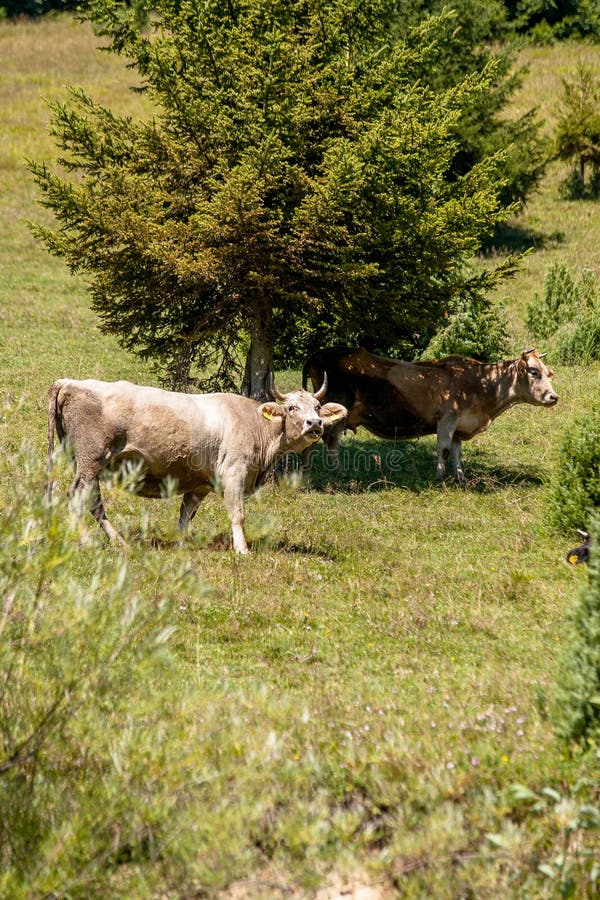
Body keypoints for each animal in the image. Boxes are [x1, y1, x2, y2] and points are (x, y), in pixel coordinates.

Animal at [47, 376, 347, 554]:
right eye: (292, 408)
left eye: (317, 407)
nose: (315, 424)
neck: (255, 425)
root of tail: (70, 382)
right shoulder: (234, 473)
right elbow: (237, 514)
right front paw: (242, 549)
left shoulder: (200, 485)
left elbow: (185, 515)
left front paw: (179, 544)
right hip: (91, 460)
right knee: (78, 496)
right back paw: (84, 540)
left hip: (88, 464)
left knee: (94, 501)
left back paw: (118, 541)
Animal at [302, 346, 558, 482]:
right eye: (533, 372)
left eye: (549, 373)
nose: (553, 397)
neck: (479, 383)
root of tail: (319, 353)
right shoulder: (447, 419)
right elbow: (443, 449)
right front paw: (439, 478)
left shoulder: (460, 425)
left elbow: (456, 452)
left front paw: (461, 478)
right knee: (329, 440)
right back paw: (336, 472)